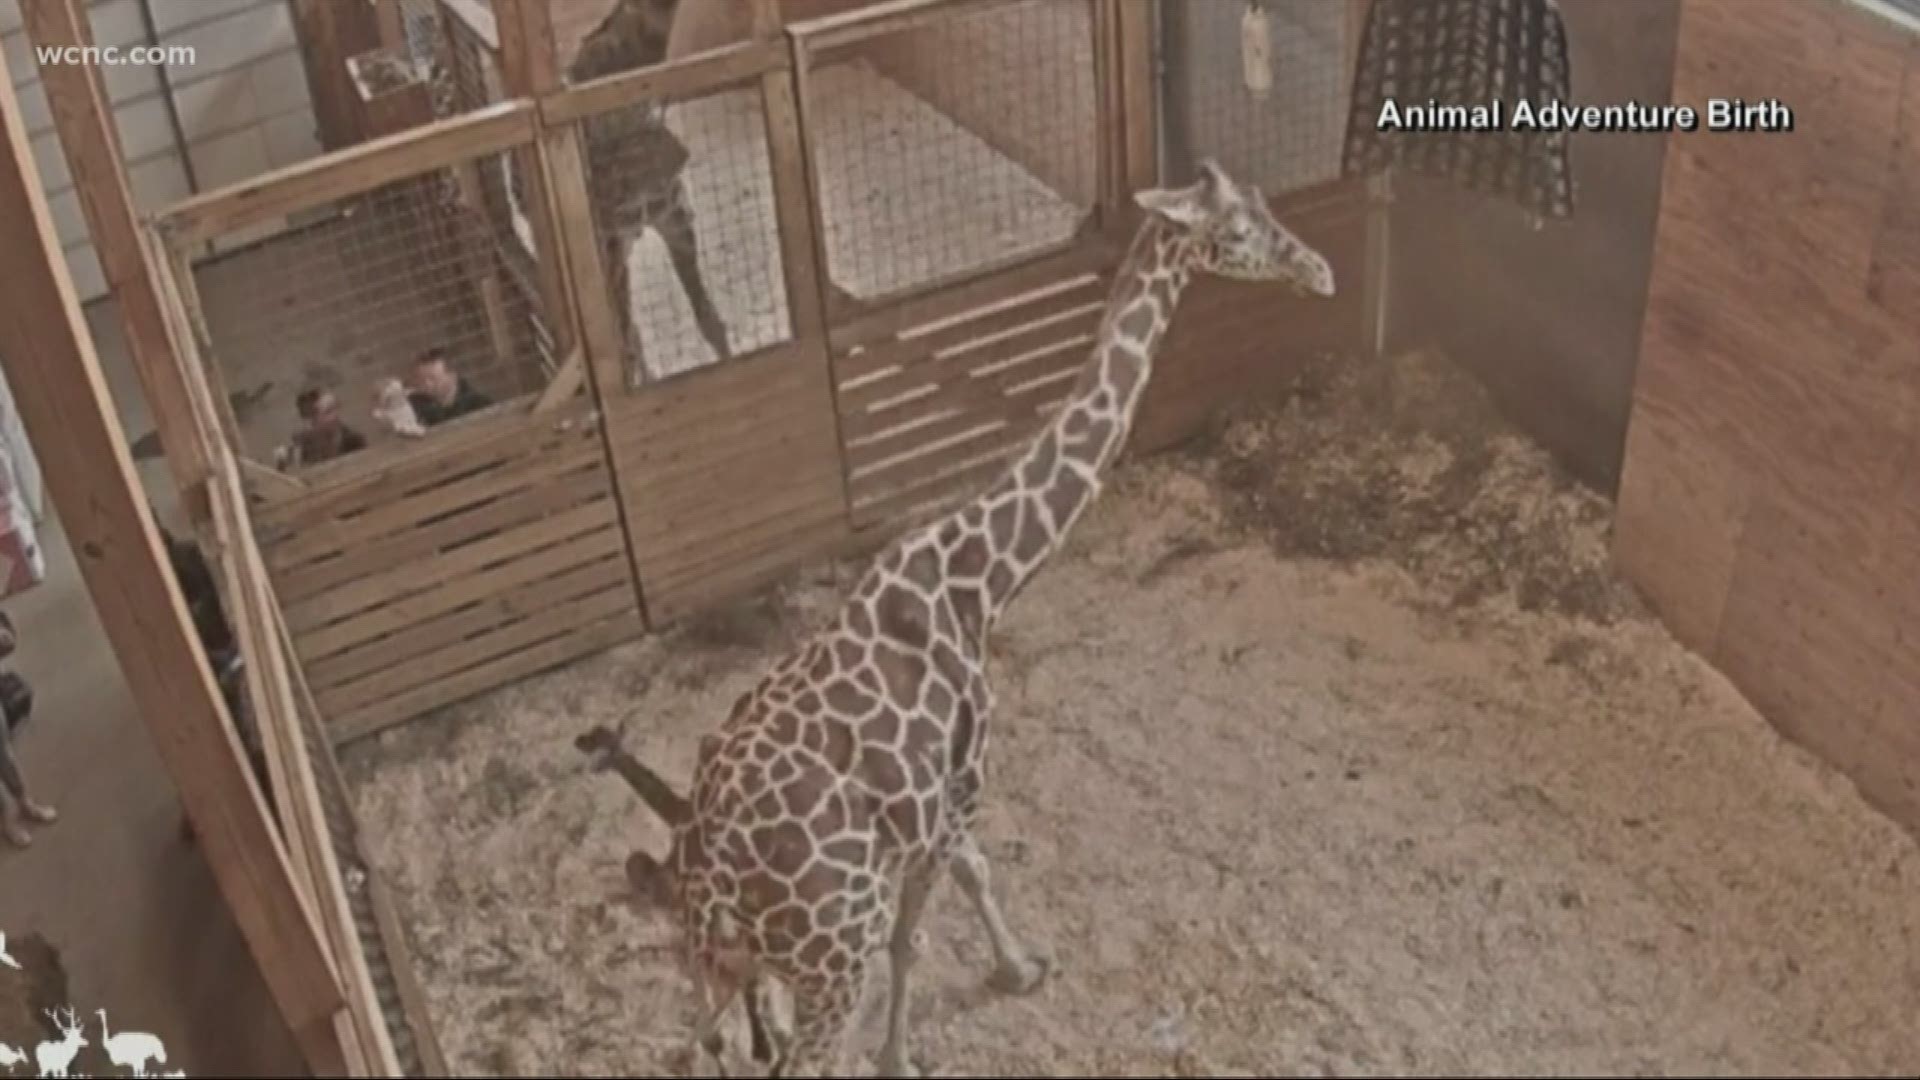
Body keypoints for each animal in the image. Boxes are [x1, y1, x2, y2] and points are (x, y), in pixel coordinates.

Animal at [603, 159, 1335, 1076]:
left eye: (1266, 206)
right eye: (1236, 232)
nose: (1320, 270)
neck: (977, 580)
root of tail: (715, 886)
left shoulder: (935, 810)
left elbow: (948, 903)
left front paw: (986, 990)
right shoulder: (959, 782)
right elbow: (942, 909)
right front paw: (987, 993)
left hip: (728, 968)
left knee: (713, 1046)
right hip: (830, 954)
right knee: (807, 1052)